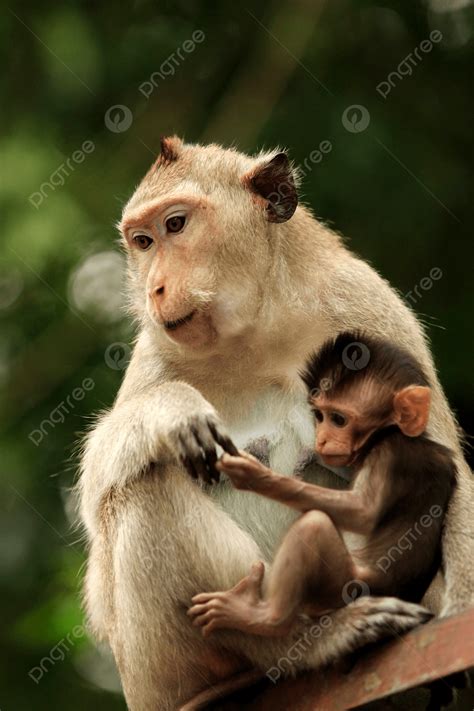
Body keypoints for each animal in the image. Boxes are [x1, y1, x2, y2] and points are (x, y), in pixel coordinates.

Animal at [188, 332, 456, 639]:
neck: (391, 434)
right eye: (319, 416)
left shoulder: (390, 454)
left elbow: (363, 513)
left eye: (338, 419)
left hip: (347, 587)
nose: (322, 439)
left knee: (314, 525)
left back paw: (264, 617)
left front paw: (257, 475)